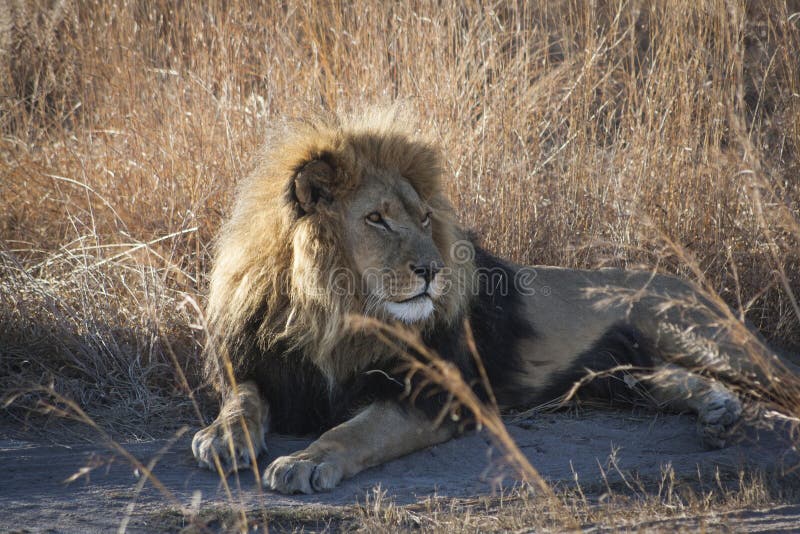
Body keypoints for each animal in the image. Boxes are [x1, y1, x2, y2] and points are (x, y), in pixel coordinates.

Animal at [192, 106, 778, 494]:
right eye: (377, 218)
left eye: (425, 218)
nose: (433, 270)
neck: (333, 313)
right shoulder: (265, 368)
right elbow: (241, 400)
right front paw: (221, 438)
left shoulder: (437, 393)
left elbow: (354, 430)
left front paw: (304, 461)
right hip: (618, 375)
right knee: (670, 379)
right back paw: (718, 411)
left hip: (694, 334)